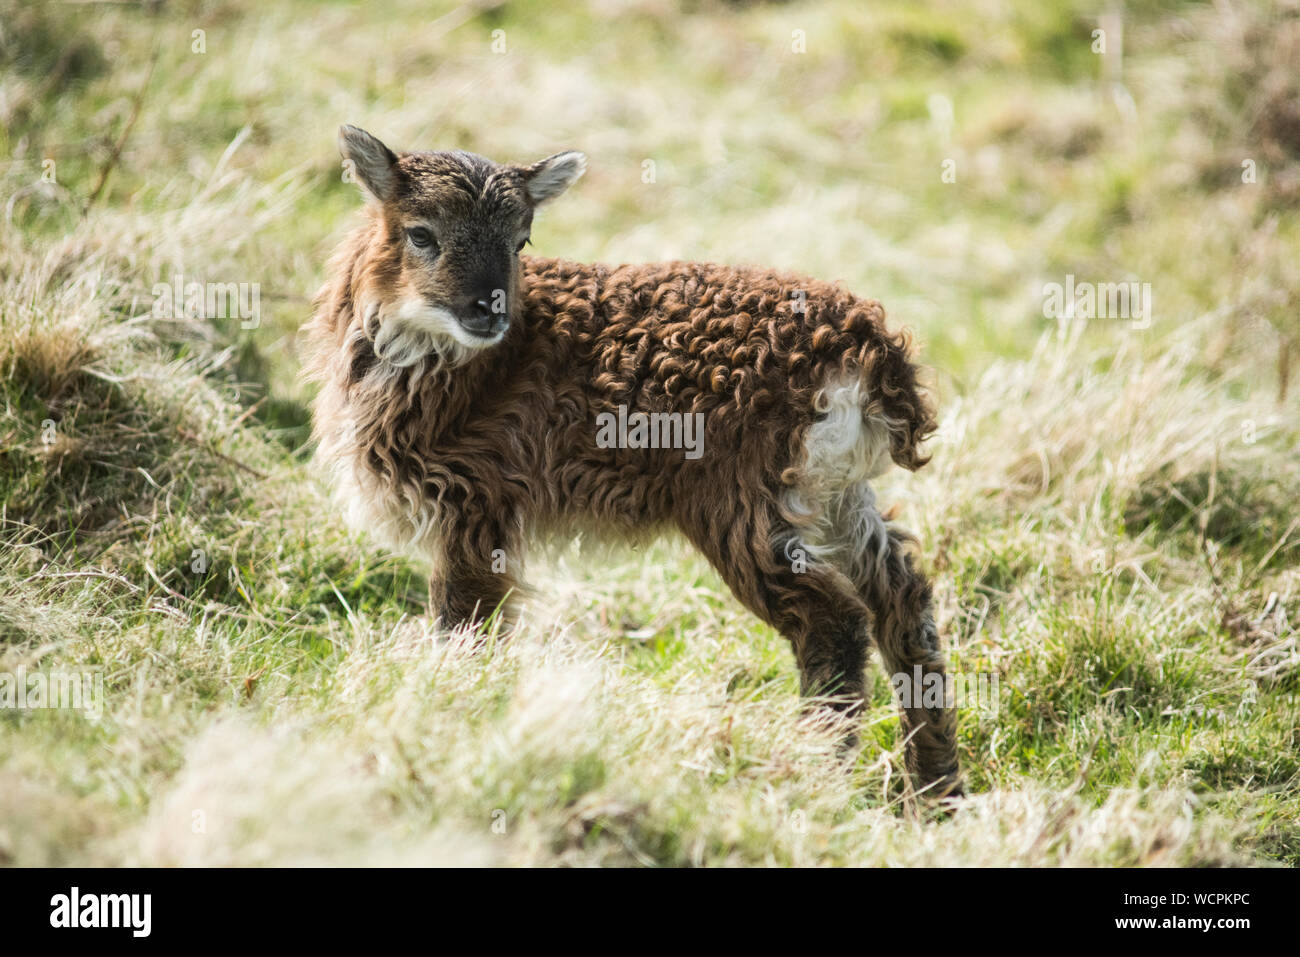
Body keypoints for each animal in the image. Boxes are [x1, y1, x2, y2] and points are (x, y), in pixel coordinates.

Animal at [302, 125, 962, 797]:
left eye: (520, 240)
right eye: (420, 233)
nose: (490, 309)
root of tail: (870, 356)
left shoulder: (477, 499)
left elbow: (463, 626)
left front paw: (450, 713)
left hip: (745, 497)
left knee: (834, 621)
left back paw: (818, 773)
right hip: (830, 492)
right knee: (902, 597)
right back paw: (934, 790)